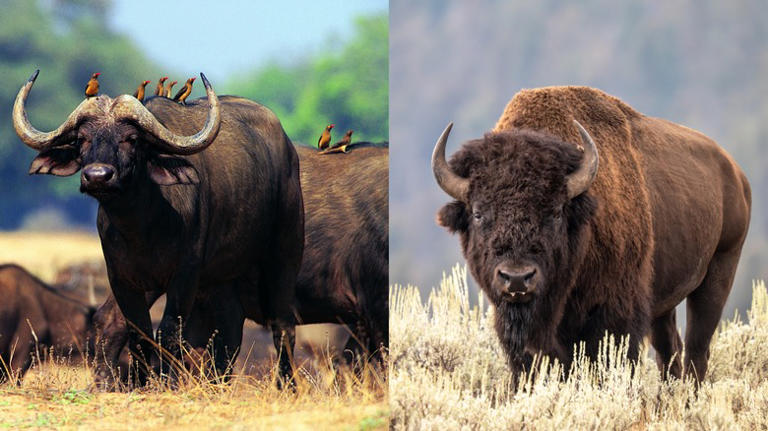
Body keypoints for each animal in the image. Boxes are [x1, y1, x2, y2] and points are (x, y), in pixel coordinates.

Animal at [12, 71, 304, 386]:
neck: (142, 226)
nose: (98, 176)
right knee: (227, 326)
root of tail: (288, 150)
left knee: (282, 324)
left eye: (131, 139)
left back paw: (286, 384)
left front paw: (166, 381)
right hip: (220, 277)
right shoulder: (121, 276)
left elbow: (168, 331)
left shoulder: (186, 274)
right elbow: (138, 330)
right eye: (82, 139)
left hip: (284, 253)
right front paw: (140, 382)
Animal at [433, 86, 750, 382]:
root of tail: (735, 173)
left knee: (697, 350)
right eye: (478, 213)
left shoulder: (616, 317)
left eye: (556, 212)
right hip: (664, 301)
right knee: (669, 350)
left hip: (719, 272)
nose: (517, 278)